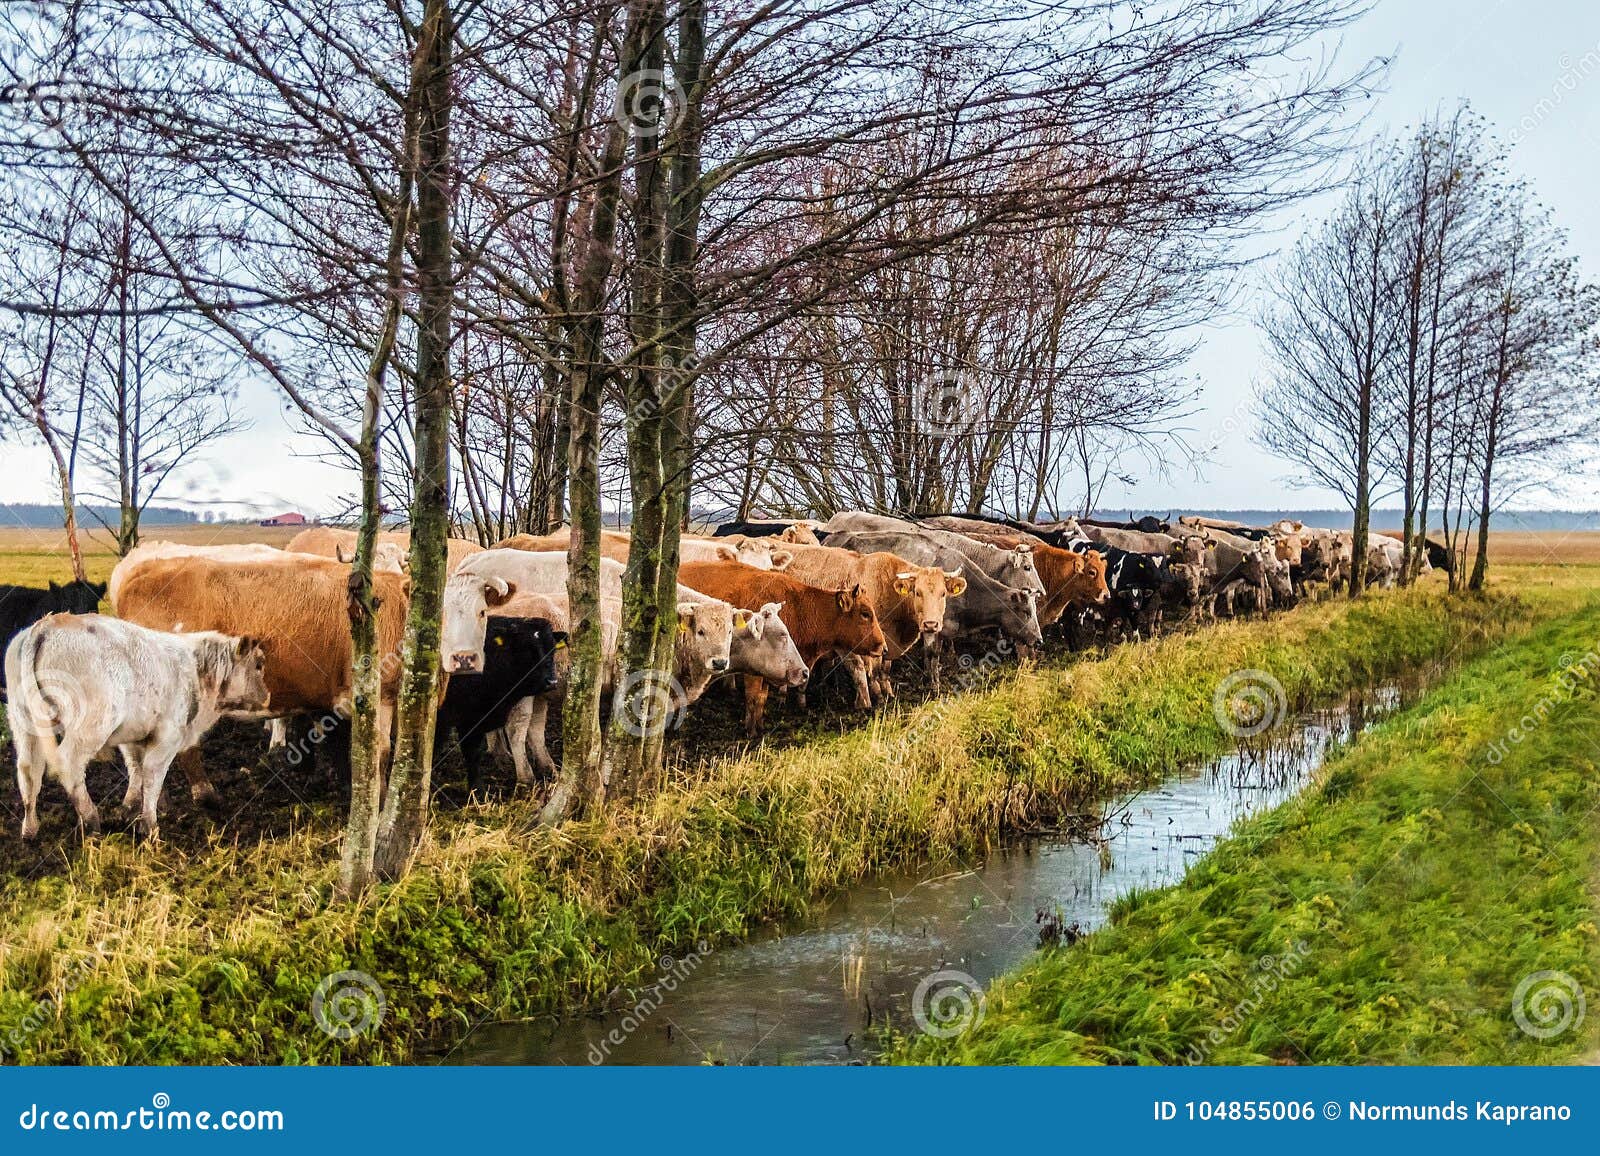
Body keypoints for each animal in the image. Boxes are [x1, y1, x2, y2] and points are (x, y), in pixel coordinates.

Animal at [6, 613, 270, 840]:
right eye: (259, 664)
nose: (267, 697)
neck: (196, 669)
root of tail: (46, 625)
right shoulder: (167, 738)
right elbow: (152, 776)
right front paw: (149, 825)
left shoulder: (132, 736)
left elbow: (136, 769)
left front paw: (130, 808)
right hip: (89, 730)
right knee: (68, 765)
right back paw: (90, 819)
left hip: (23, 724)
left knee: (28, 771)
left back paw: (30, 829)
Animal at [678, 560, 886, 732]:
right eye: (865, 614)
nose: (884, 647)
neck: (800, 606)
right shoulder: (753, 670)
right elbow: (753, 698)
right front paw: (751, 731)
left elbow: (761, 699)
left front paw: (759, 726)